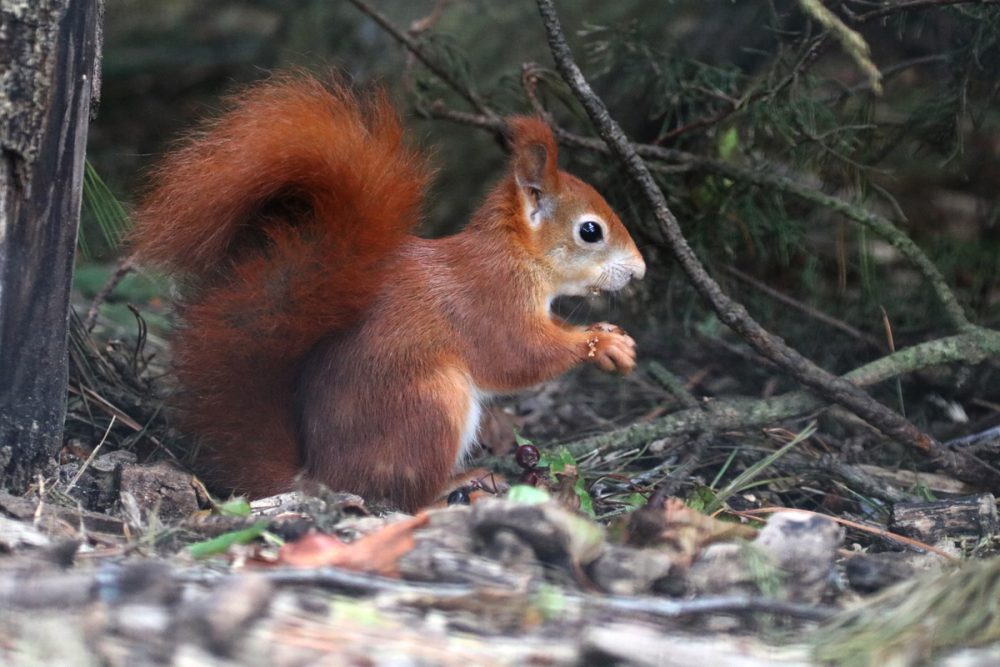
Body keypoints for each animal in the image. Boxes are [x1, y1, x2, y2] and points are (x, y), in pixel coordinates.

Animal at [130, 73, 646, 512]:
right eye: (591, 231)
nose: (640, 270)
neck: (516, 256)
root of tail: (323, 476)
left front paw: (610, 332)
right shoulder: (489, 302)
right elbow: (520, 356)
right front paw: (600, 343)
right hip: (431, 405)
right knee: (405, 498)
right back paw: (455, 488)